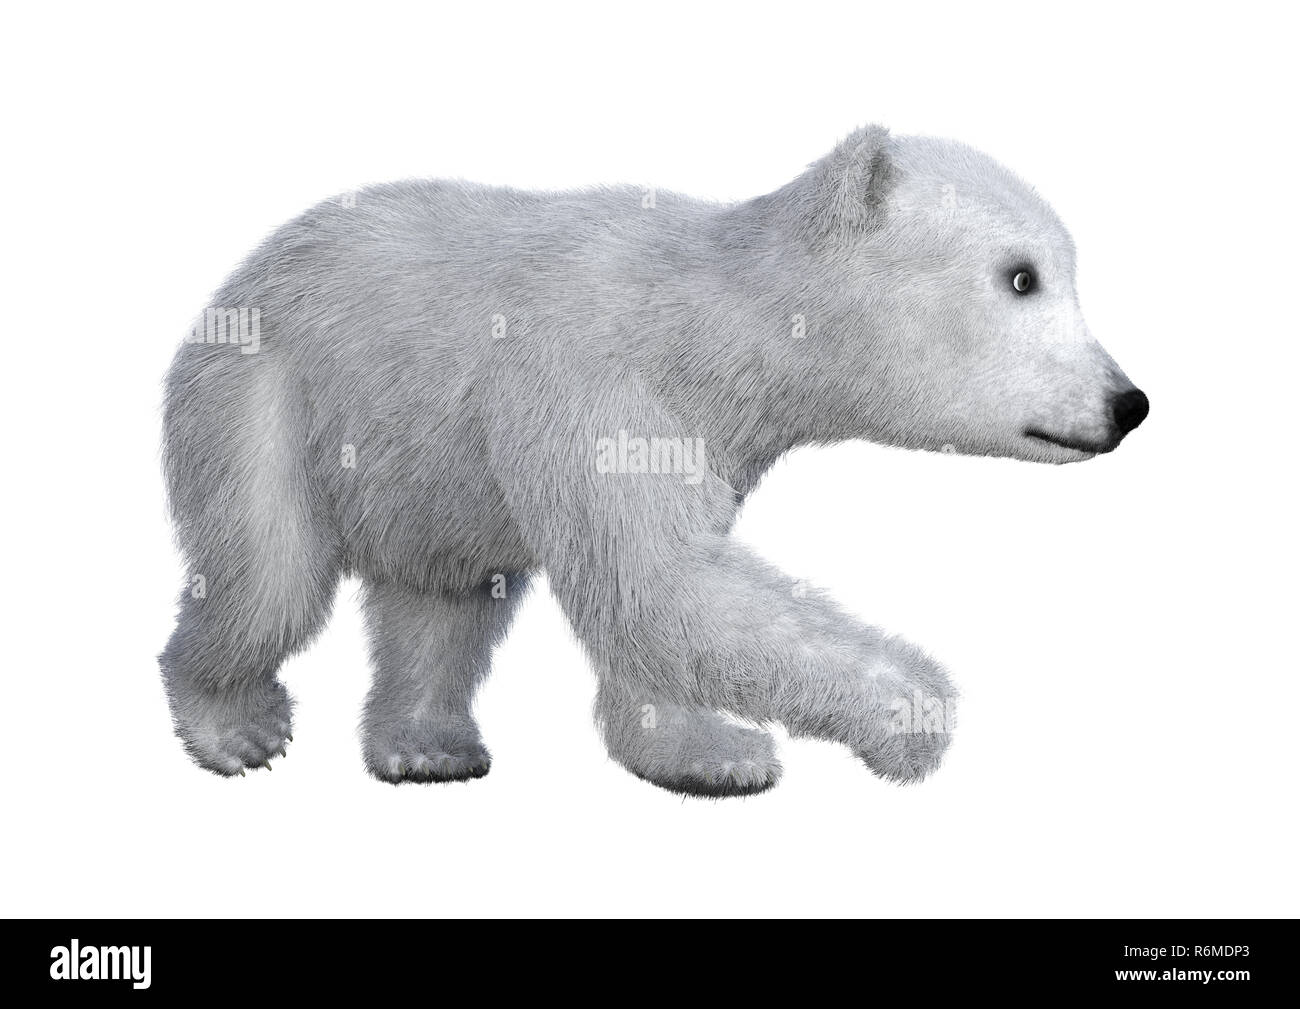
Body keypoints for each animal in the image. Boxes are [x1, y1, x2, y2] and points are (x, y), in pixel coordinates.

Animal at [160, 124, 1148, 796]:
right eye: (1020, 277)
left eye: (1058, 271)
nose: (1126, 403)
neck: (713, 328)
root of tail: (239, 278)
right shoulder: (593, 385)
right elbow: (660, 581)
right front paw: (912, 713)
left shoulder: (705, 432)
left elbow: (661, 594)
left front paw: (709, 751)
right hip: (262, 398)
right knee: (268, 580)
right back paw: (231, 727)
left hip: (423, 465)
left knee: (444, 600)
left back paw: (426, 743)